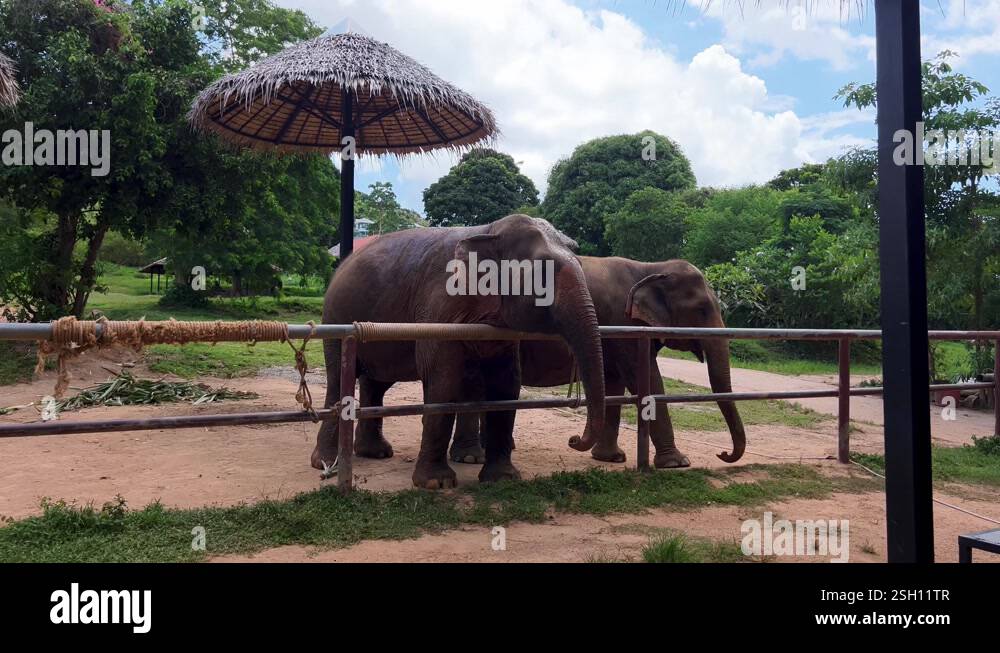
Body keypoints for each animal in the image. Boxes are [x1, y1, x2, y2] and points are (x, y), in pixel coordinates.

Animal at [312, 214, 607, 489]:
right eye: (543, 275)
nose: (573, 439)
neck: (489, 231)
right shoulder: (439, 307)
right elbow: (444, 380)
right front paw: (436, 483)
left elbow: (506, 385)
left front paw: (502, 479)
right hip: (336, 317)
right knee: (339, 379)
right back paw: (326, 462)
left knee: (376, 382)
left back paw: (375, 453)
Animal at [445, 257, 748, 469]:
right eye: (702, 309)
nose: (722, 453)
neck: (650, 267)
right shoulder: (623, 323)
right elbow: (647, 380)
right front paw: (677, 463)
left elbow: (613, 384)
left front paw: (609, 458)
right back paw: (471, 458)